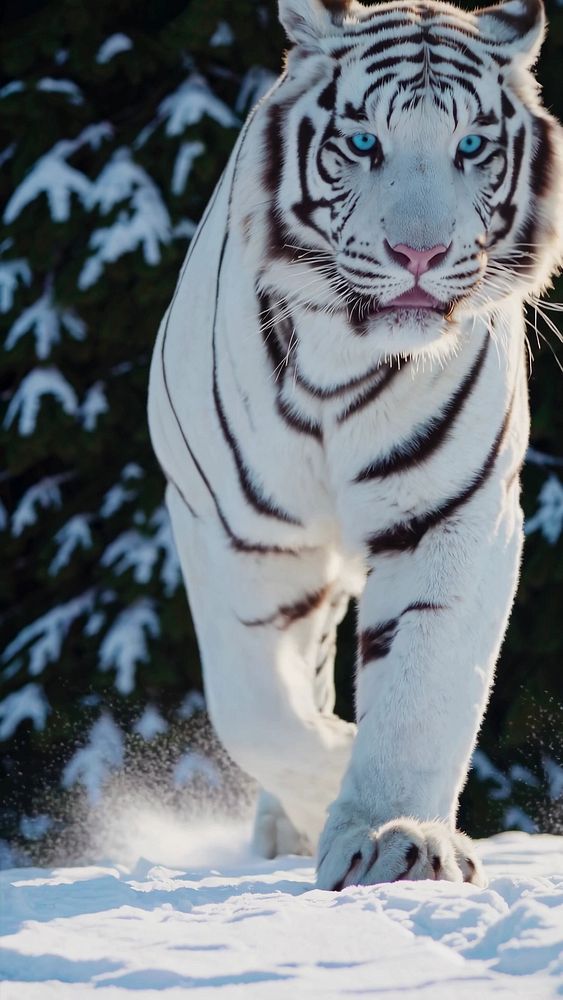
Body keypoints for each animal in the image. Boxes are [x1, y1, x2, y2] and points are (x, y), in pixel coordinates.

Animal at [148, 0, 563, 889]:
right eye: (364, 141)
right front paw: (335, 777)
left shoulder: (452, 512)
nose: (419, 255)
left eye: (470, 146)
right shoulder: (234, 533)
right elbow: (254, 708)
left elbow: (420, 683)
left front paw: (393, 839)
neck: (343, 355)